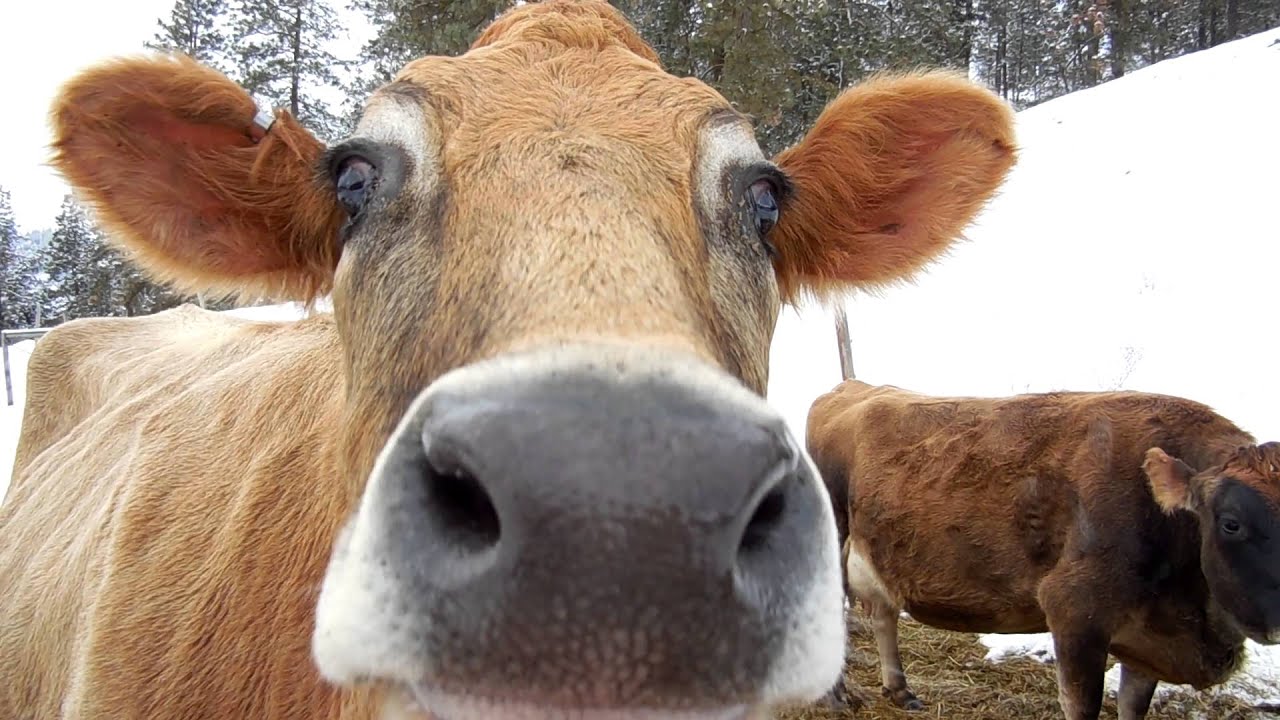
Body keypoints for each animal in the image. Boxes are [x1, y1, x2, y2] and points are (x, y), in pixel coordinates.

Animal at [807, 379, 1280, 720]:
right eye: (1231, 523)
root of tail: (854, 387)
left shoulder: (1150, 638)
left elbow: (1133, 706)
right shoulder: (1074, 612)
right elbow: (1082, 707)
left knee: (883, 613)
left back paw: (899, 688)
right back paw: (834, 695)